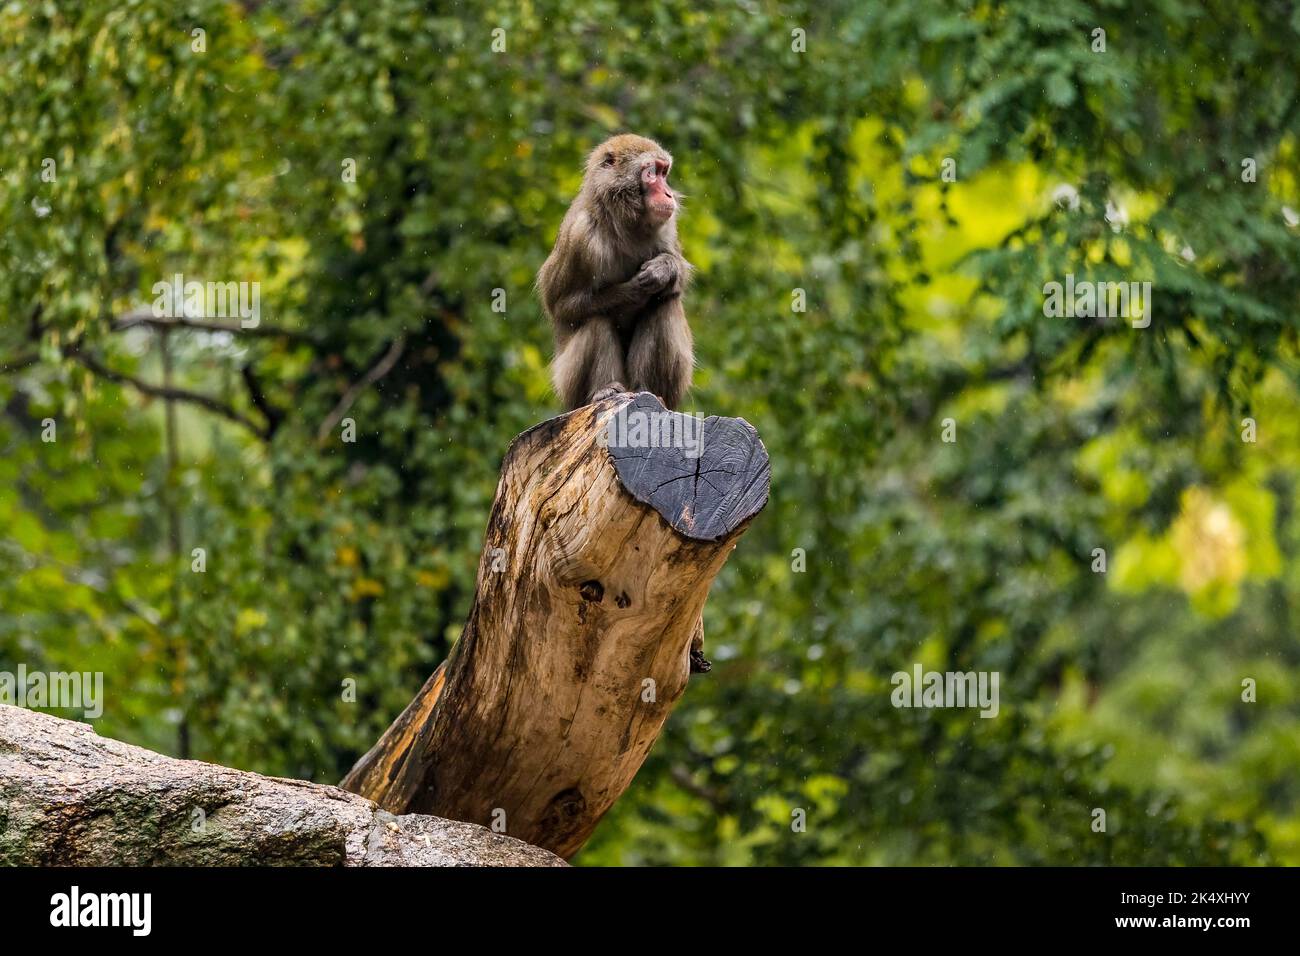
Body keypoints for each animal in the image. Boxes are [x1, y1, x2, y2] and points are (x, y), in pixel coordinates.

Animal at [537, 133, 693, 411]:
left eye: (664, 172)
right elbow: (560, 306)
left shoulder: (668, 225)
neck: (622, 221)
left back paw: (646, 388)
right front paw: (632, 291)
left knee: (664, 303)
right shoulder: (579, 236)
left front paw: (663, 269)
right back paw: (605, 390)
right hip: (569, 386)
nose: (669, 194)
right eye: (652, 173)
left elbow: (678, 276)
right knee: (596, 319)